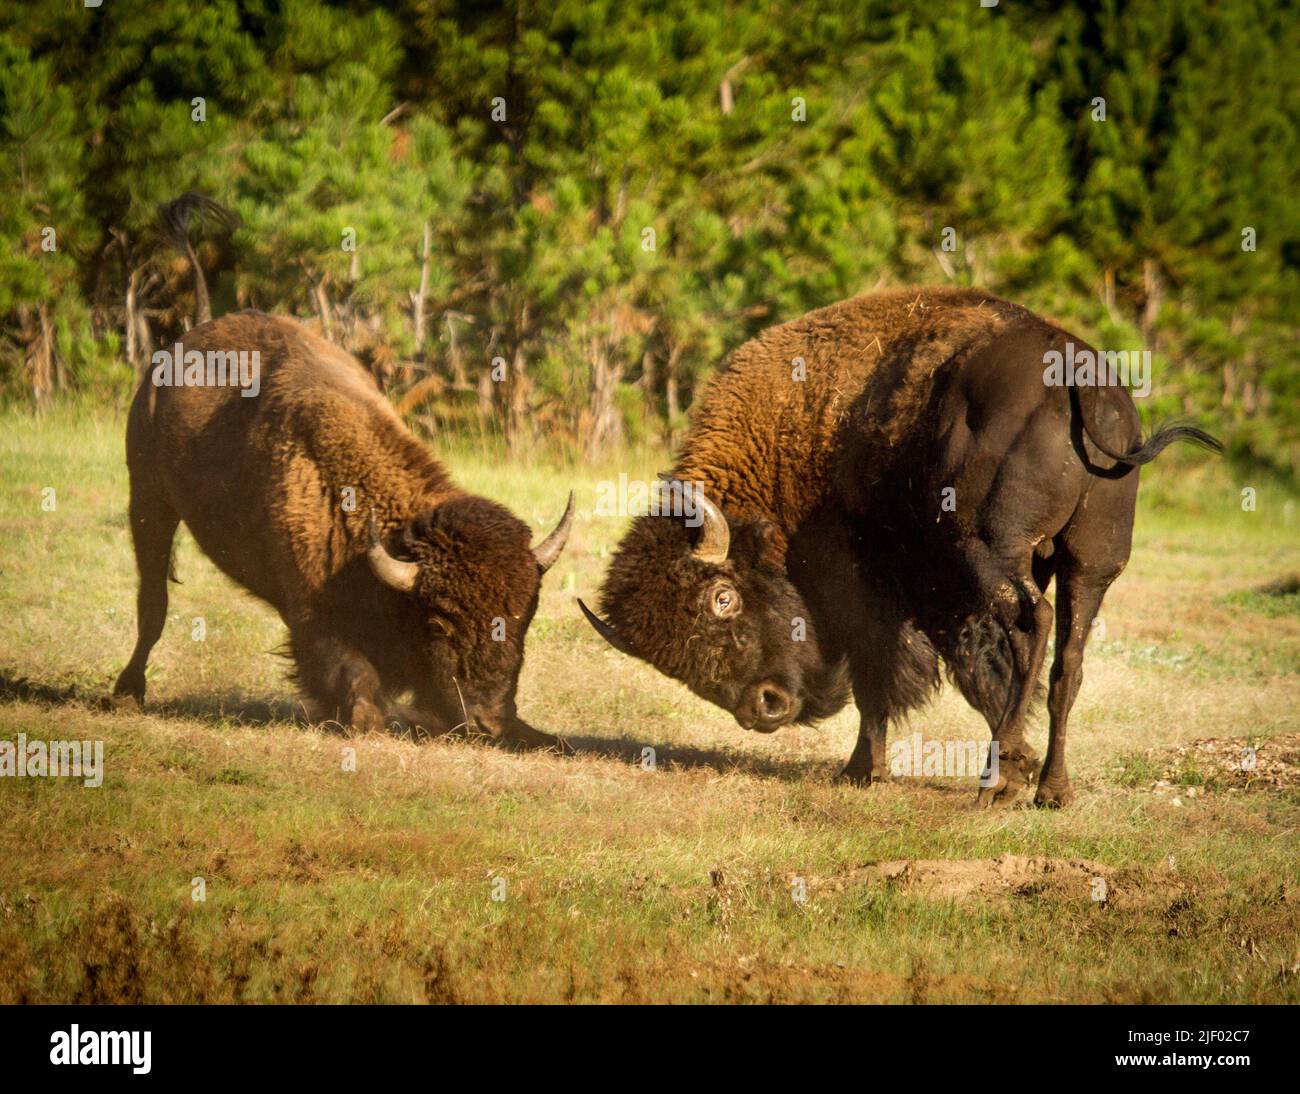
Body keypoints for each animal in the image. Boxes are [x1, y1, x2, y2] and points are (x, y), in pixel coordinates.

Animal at [113, 309, 574, 751]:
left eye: (524, 620)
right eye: (438, 625)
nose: (489, 722)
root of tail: (170, 356)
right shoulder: (308, 611)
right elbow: (352, 670)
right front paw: (367, 721)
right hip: (149, 498)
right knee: (152, 602)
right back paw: (126, 694)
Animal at [580, 287, 1220, 806]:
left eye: (722, 598)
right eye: (674, 663)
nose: (764, 708)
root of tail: (1076, 381)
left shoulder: (864, 589)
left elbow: (879, 676)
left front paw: (862, 771)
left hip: (991, 552)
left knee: (1030, 627)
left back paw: (998, 783)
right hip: (1090, 564)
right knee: (1068, 660)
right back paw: (1050, 789)